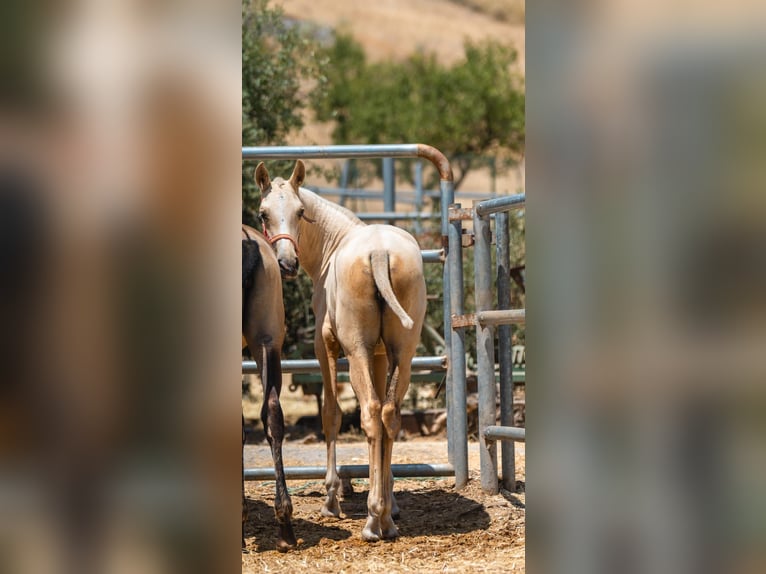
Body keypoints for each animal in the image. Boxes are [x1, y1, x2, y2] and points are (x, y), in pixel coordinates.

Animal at [256, 160, 427, 542]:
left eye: (300, 212)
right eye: (264, 213)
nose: (287, 263)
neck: (333, 245)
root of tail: (379, 253)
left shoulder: (327, 348)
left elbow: (331, 414)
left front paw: (331, 498)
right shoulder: (380, 356)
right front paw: (392, 500)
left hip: (356, 351)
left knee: (369, 413)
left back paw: (373, 521)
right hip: (402, 354)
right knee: (388, 413)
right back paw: (386, 518)